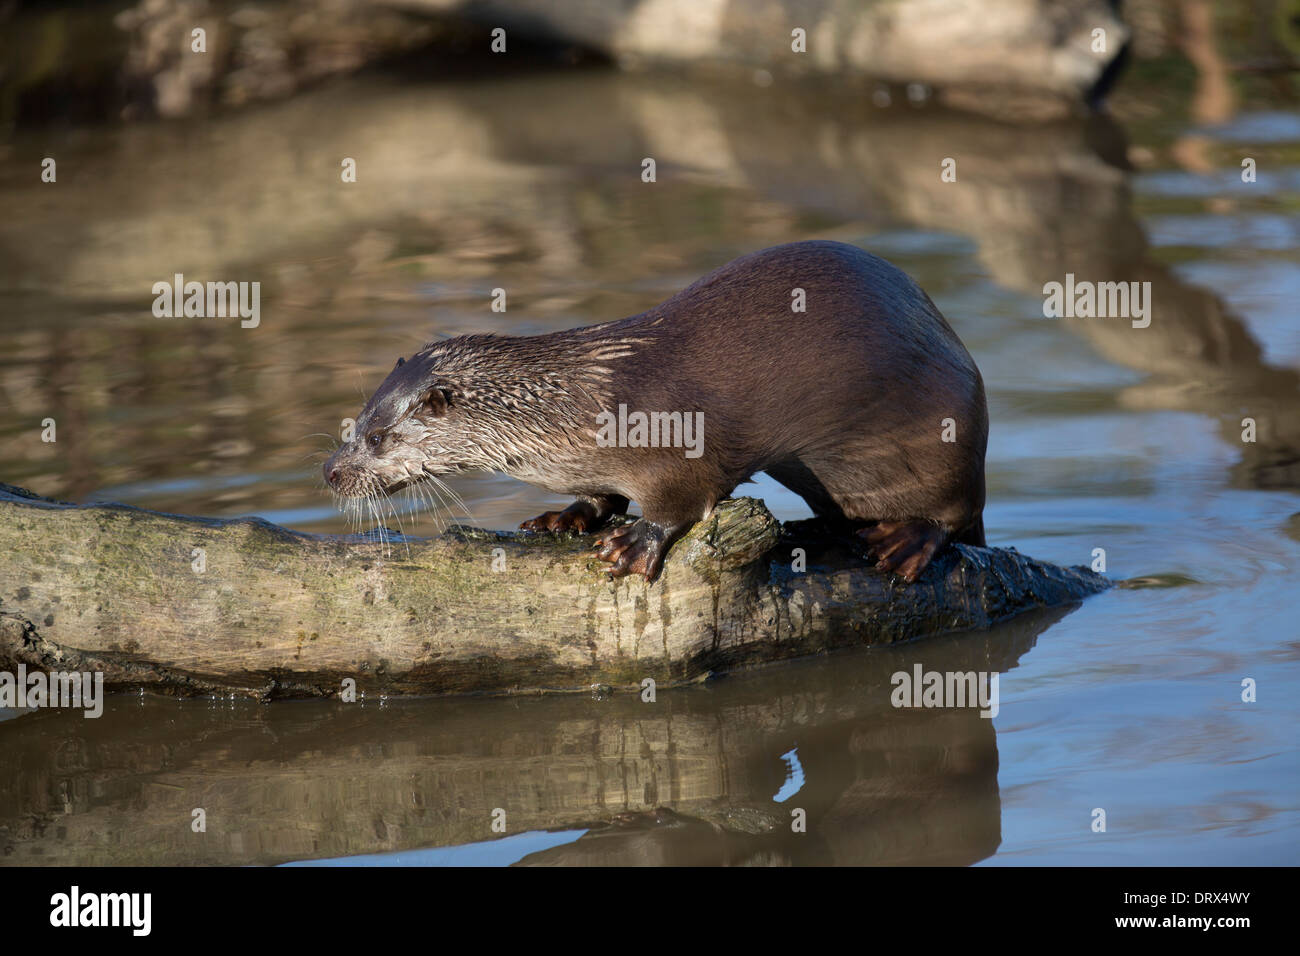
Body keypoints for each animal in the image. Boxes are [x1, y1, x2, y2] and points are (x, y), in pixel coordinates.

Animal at [324, 240, 988, 582]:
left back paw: (904, 542)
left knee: (955, 517)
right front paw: (567, 516)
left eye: (378, 437)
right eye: (356, 424)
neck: (578, 408)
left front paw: (634, 541)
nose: (331, 471)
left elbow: (684, 498)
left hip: (948, 434)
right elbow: (599, 495)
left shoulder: (672, 444)